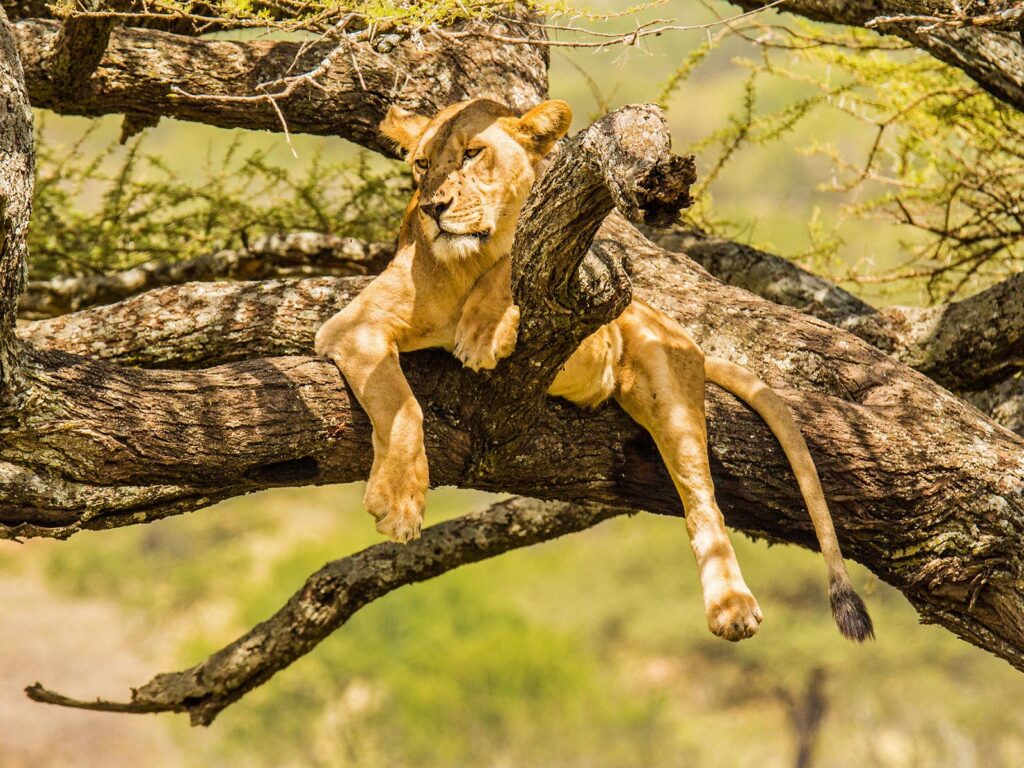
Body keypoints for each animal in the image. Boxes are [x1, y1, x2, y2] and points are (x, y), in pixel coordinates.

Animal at [315, 98, 873, 643]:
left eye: (473, 153)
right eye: (421, 164)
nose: (432, 207)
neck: (472, 257)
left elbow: (514, 265)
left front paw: (483, 330)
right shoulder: (351, 326)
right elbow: (401, 404)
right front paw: (400, 502)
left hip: (664, 379)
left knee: (703, 505)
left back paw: (731, 606)